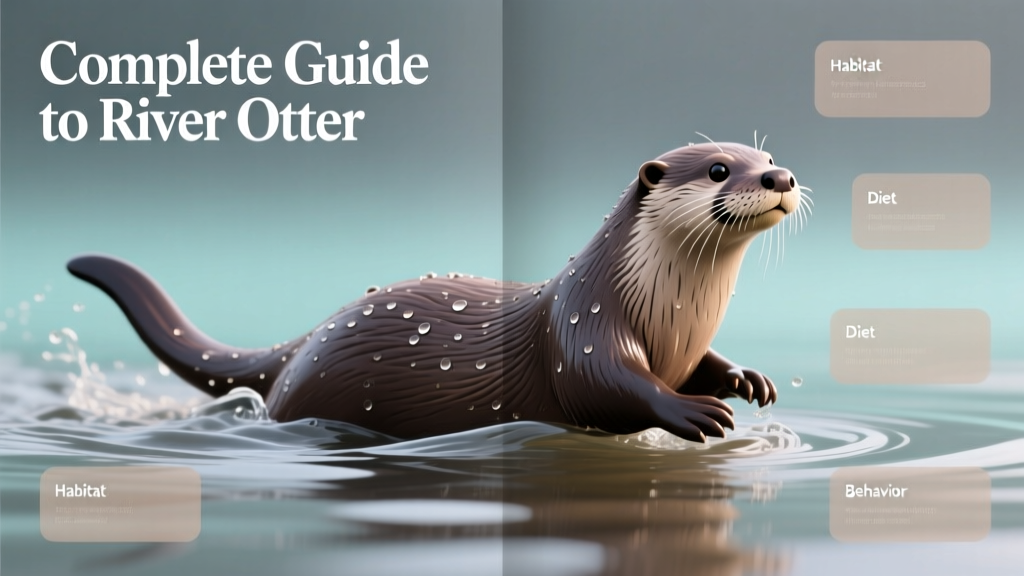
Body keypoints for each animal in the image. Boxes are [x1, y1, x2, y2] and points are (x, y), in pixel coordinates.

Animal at [68, 140, 809, 442]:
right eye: (719, 169)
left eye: (767, 156)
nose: (780, 177)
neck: (671, 314)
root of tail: (307, 337)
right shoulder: (582, 322)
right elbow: (605, 384)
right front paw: (691, 412)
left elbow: (707, 364)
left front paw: (744, 379)